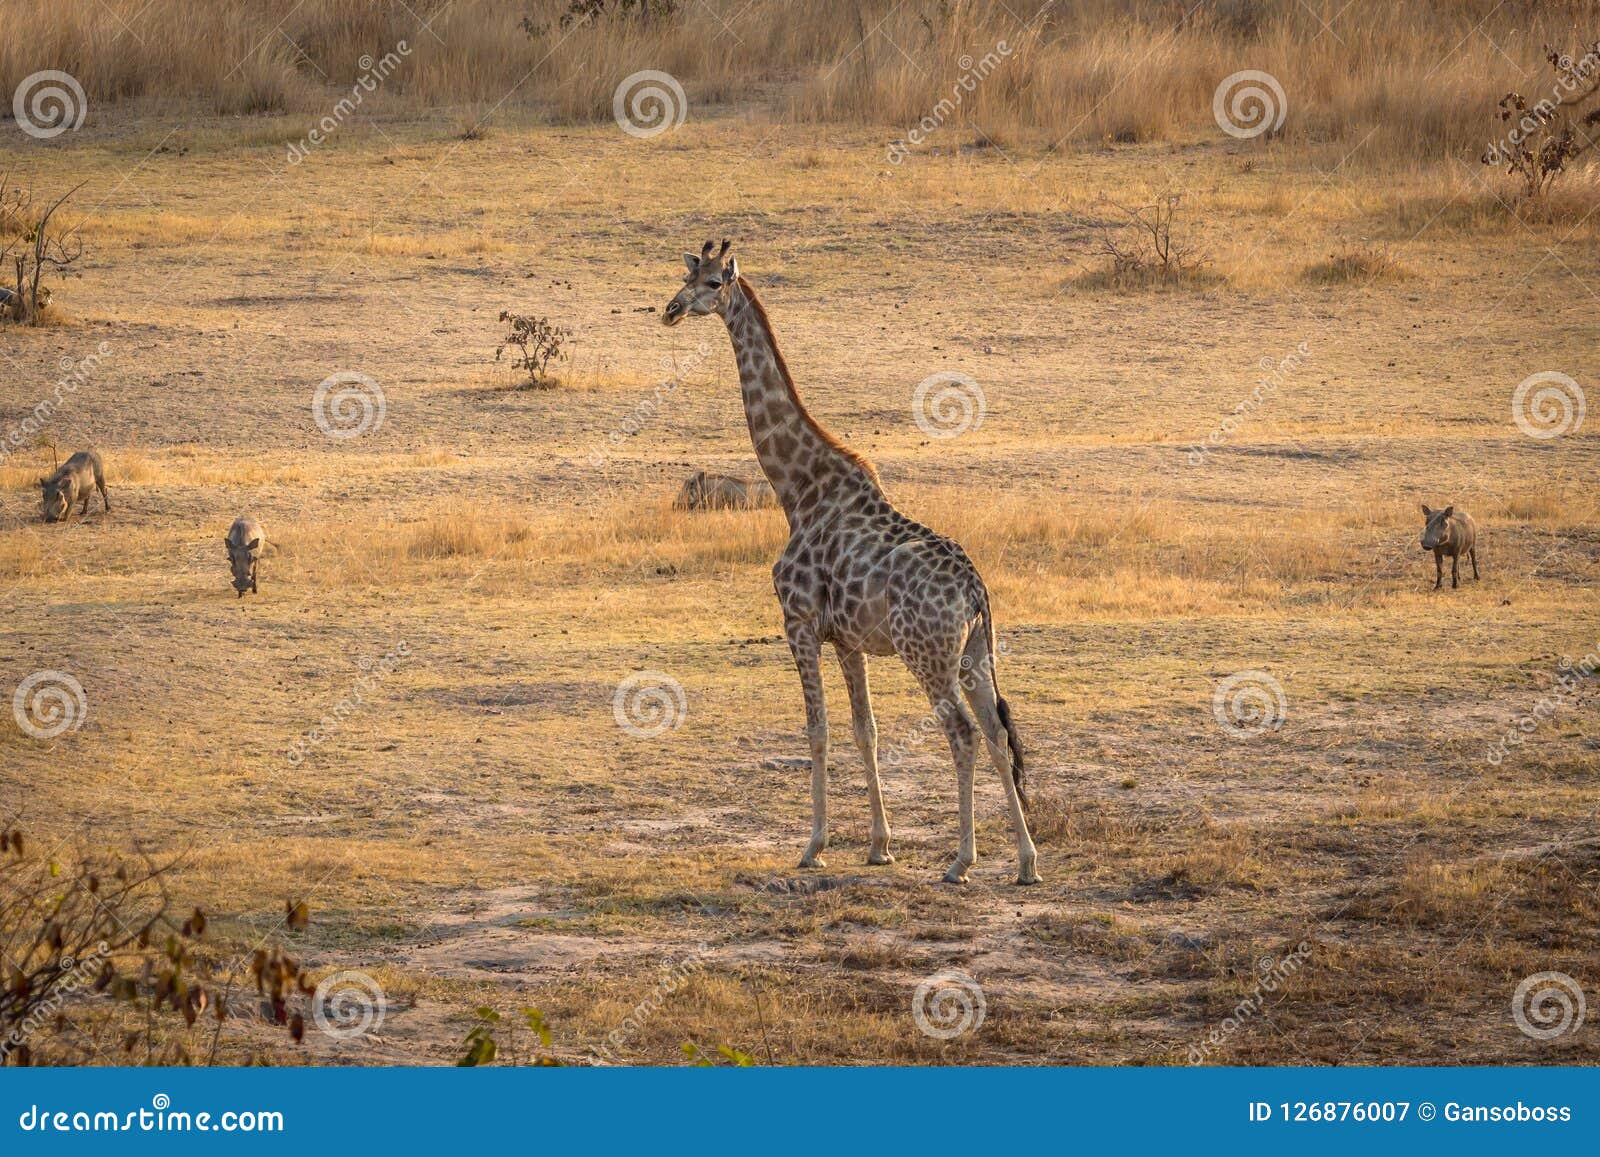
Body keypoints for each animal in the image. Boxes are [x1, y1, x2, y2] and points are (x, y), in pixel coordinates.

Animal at [662, 240, 1039, 885]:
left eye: (713, 282)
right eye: (685, 274)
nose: (670, 309)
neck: (797, 488)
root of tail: (976, 590)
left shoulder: (798, 624)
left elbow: (818, 731)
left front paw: (813, 844)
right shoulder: (848, 640)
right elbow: (866, 731)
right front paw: (879, 845)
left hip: (927, 653)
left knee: (962, 734)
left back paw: (960, 861)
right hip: (974, 652)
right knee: (996, 733)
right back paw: (1026, 861)